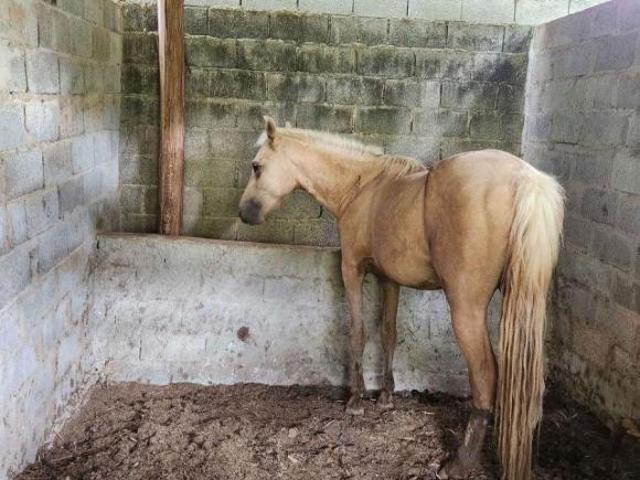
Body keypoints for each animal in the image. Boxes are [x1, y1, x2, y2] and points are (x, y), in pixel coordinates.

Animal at [239, 116, 564, 480]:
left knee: (484, 376)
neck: (361, 187)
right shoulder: (389, 280)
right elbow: (388, 333)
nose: (244, 212)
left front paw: (356, 400)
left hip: (467, 310)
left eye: (256, 166)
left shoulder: (351, 270)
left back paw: (459, 462)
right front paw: (386, 396)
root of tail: (526, 178)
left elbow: (358, 332)